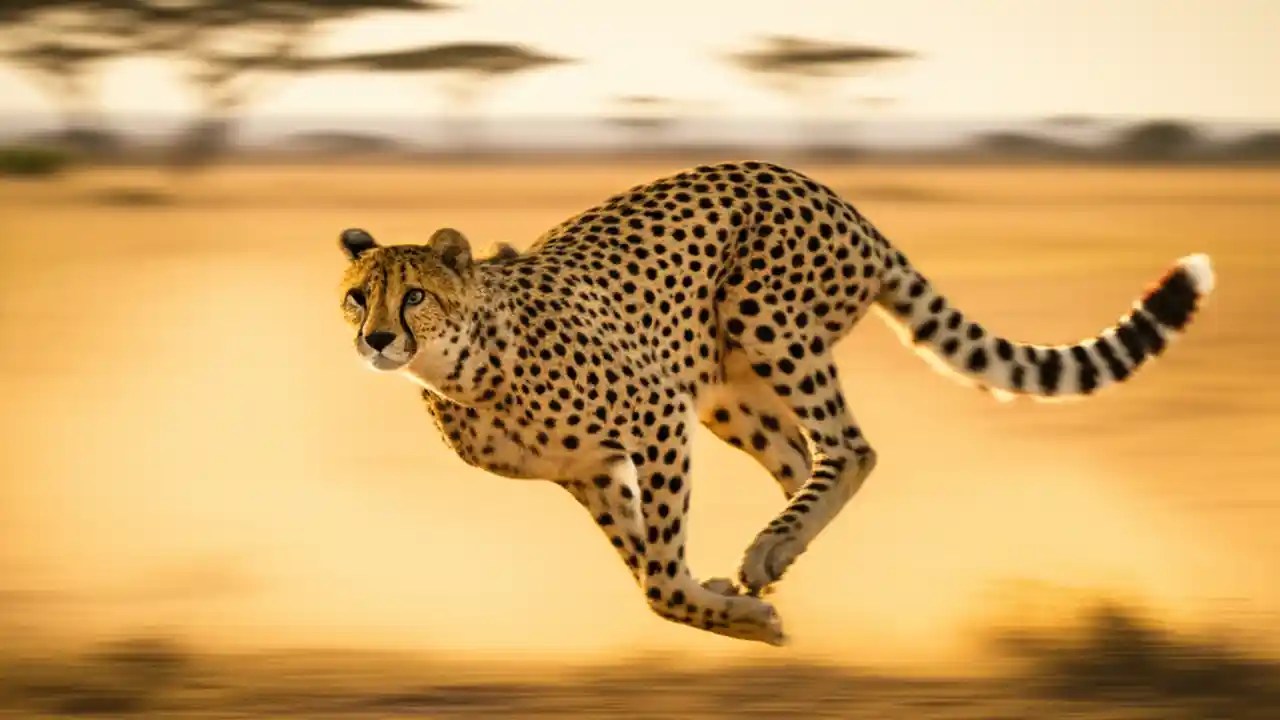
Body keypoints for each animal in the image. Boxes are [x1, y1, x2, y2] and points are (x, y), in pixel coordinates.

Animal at [335, 161, 1215, 646]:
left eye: (413, 296)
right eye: (355, 296)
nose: (376, 339)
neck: (466, 368)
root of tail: (815, 185)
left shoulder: (655, 419)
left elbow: (657, 572)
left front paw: (732, 611)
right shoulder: (586, 473)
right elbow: (647, 571)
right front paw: (725, 607)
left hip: (766, 318)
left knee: (849, 447)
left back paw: (768, 551)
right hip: (729, 391)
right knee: (804, 459)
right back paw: (774, 554)